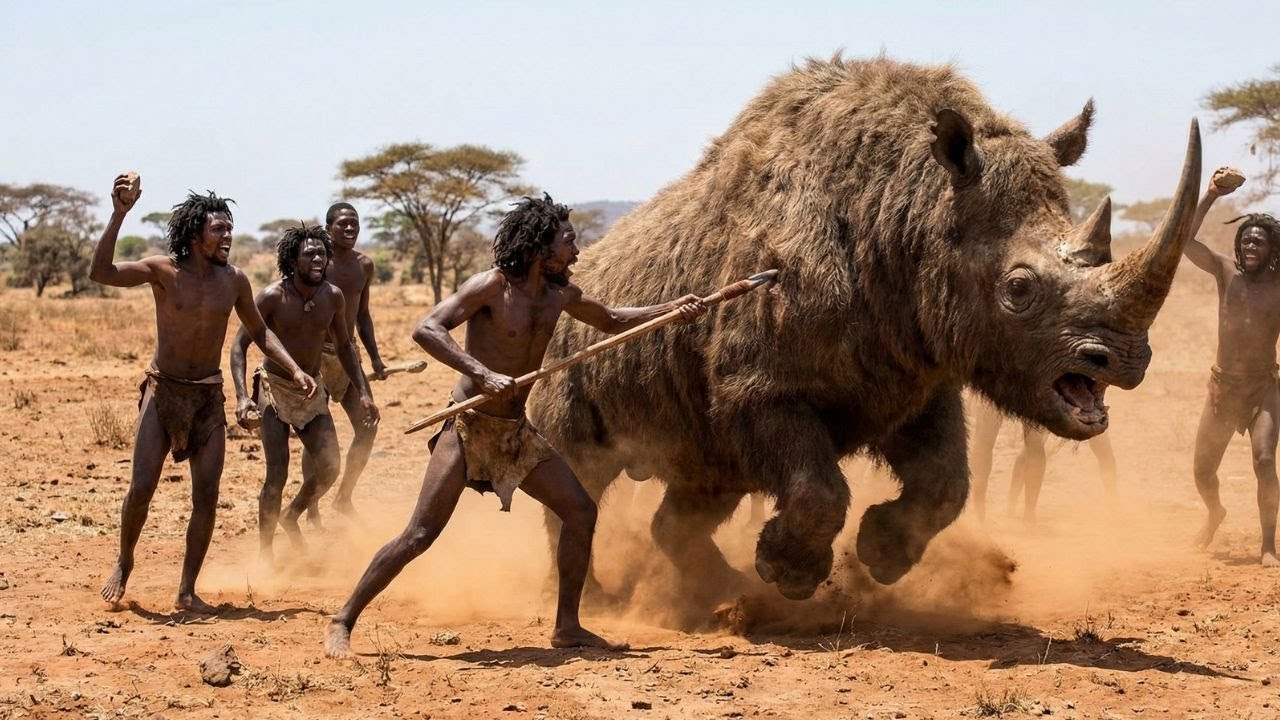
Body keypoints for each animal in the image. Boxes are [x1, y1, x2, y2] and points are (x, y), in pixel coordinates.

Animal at [528, 55, 1200, 603]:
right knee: (582, 474)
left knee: (702, 481)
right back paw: (598, 600)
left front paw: (879, 555)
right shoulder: (757, 386)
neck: (913, 205)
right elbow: (818, 488)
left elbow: (946, 484)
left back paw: (721, 596)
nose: (1126, 362)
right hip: (562, 346)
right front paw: (790, 574)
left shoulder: (917, 369)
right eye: (1018, 289)